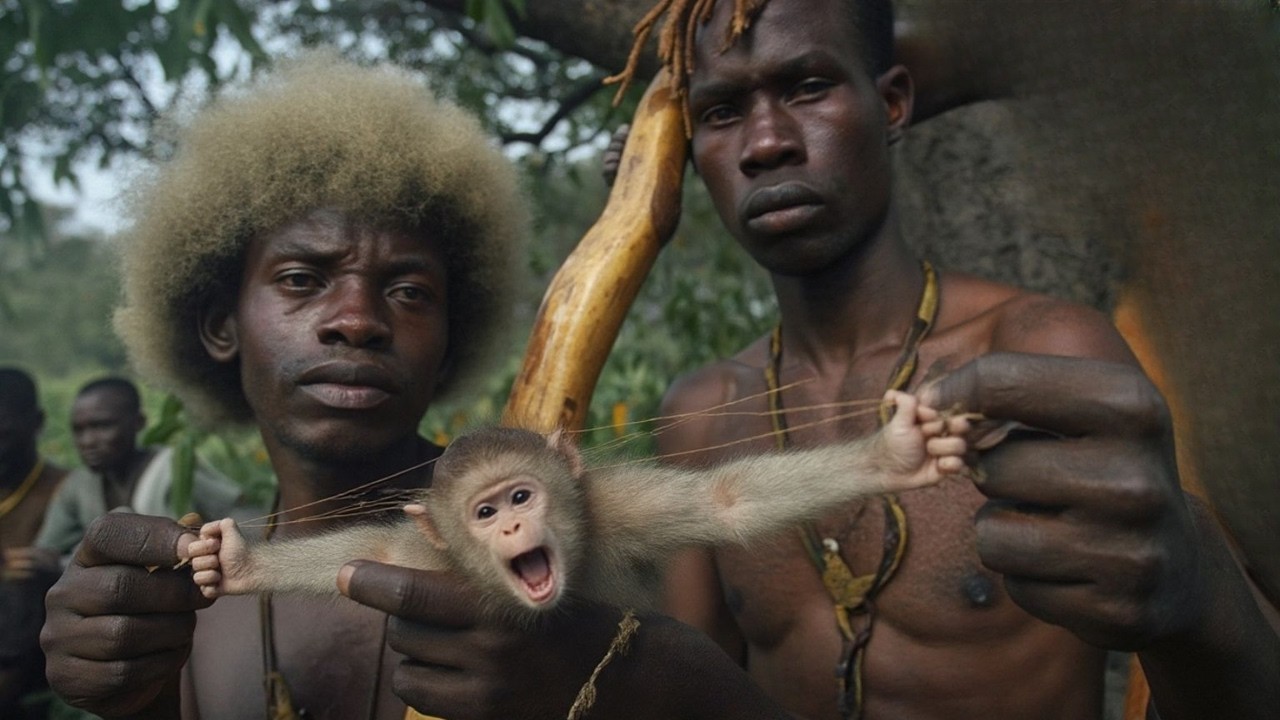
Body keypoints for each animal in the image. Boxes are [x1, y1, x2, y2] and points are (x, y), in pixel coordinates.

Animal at [188, 390, 969, 618]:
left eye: (521, 495)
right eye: (484, 514)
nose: (512, 521)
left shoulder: (621, 509)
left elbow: (727, 501)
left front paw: (894, 454)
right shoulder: (432, 555)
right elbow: (367, 550)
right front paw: (238, 563)